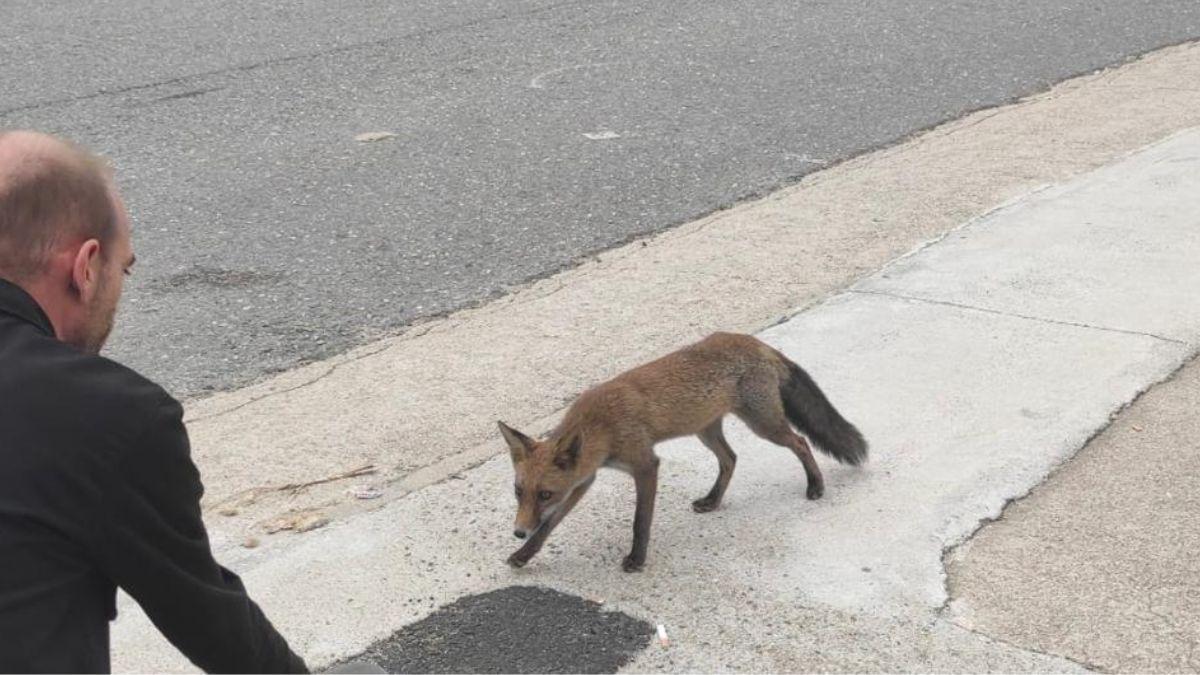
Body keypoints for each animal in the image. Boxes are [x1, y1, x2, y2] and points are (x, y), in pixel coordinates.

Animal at [498, 332, 867, 572]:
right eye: (518, 491)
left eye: (545, 493)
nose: (517, 530)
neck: (602, 424)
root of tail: (755, 342)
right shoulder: (583, 480)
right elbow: (548, 526)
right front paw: (524, 554)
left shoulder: (646, 465)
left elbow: (640, 521)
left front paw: (637, 559)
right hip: (707, 430)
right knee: (731, 459)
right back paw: (713, 500)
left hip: (763, 425)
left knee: (800, 443)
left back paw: (815, 485)